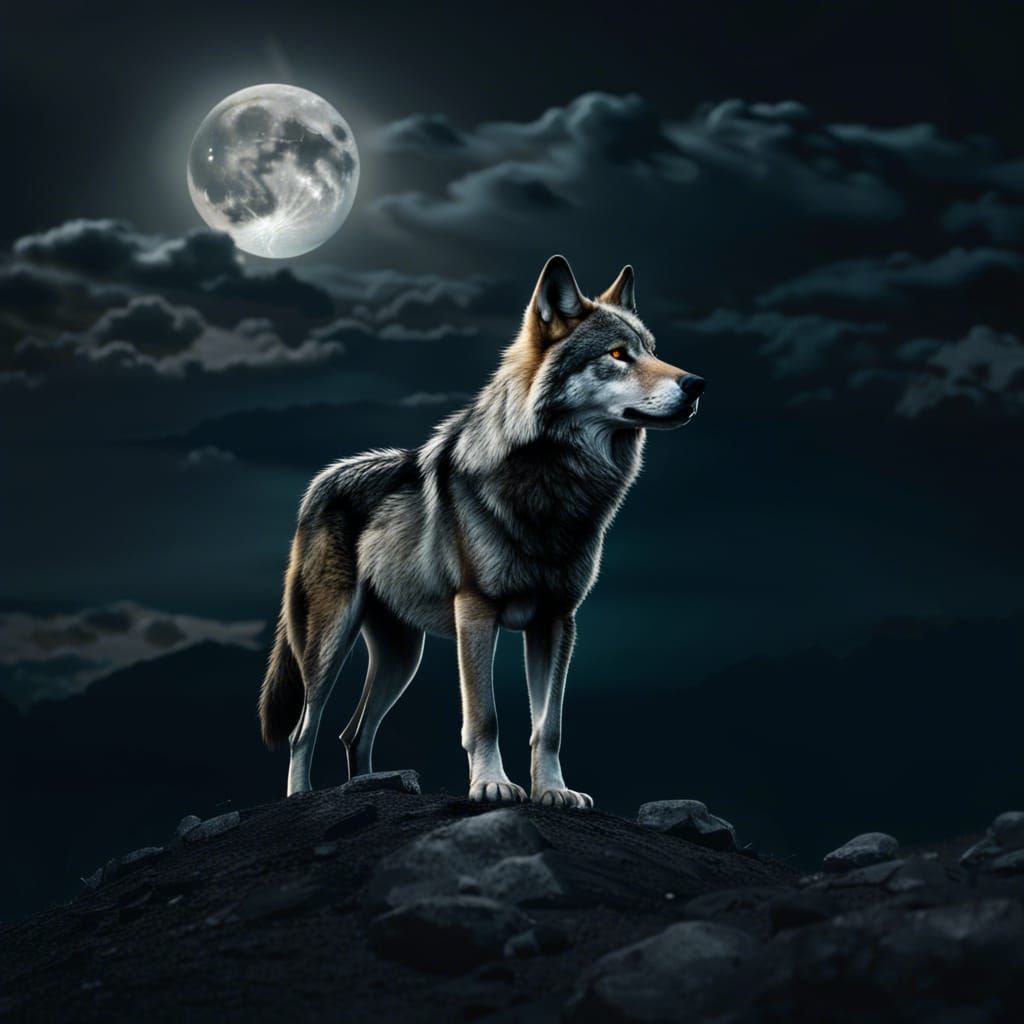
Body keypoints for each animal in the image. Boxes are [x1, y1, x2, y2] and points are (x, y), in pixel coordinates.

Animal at [259, 255, 705, 806]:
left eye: (653, 352)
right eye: (619, 355)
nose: (696, 384)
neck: (553, 488)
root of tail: (320, 481)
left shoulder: (557, 620)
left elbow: (549, 726)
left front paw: (553, 791)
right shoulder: (476, 612)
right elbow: (484, 716)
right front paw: (491, 785)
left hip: (402, 657)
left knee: (354, 732)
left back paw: (369, 786)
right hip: (329, 643)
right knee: (305, 728)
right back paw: (301, 796)